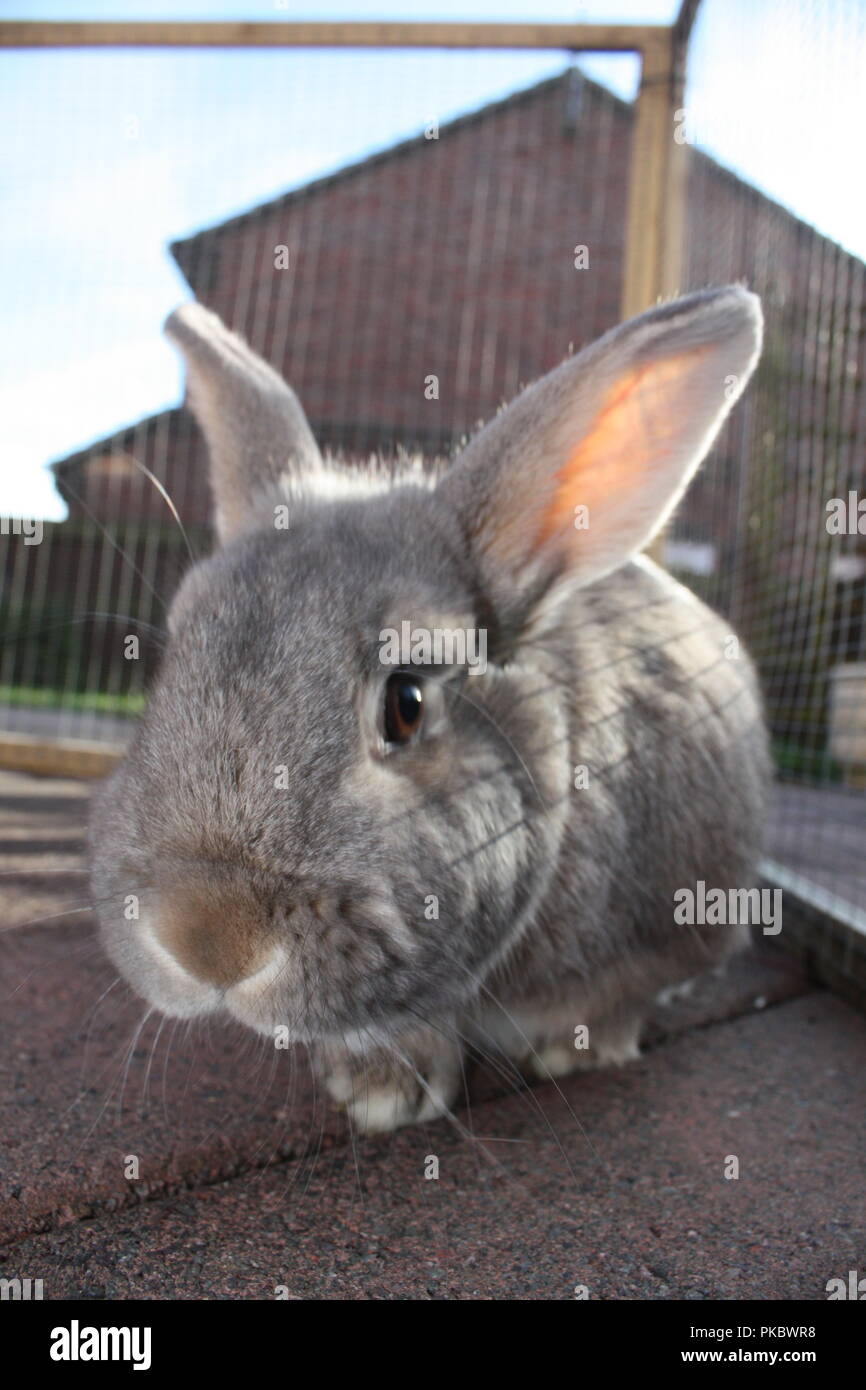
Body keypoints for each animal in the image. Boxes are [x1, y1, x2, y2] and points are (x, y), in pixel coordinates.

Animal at [90, 285, 769, 1134]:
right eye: (171, 661)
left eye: (407, 703)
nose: (205, 939)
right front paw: (381, 1089)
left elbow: (619, 1001)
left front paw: (574, 1053)